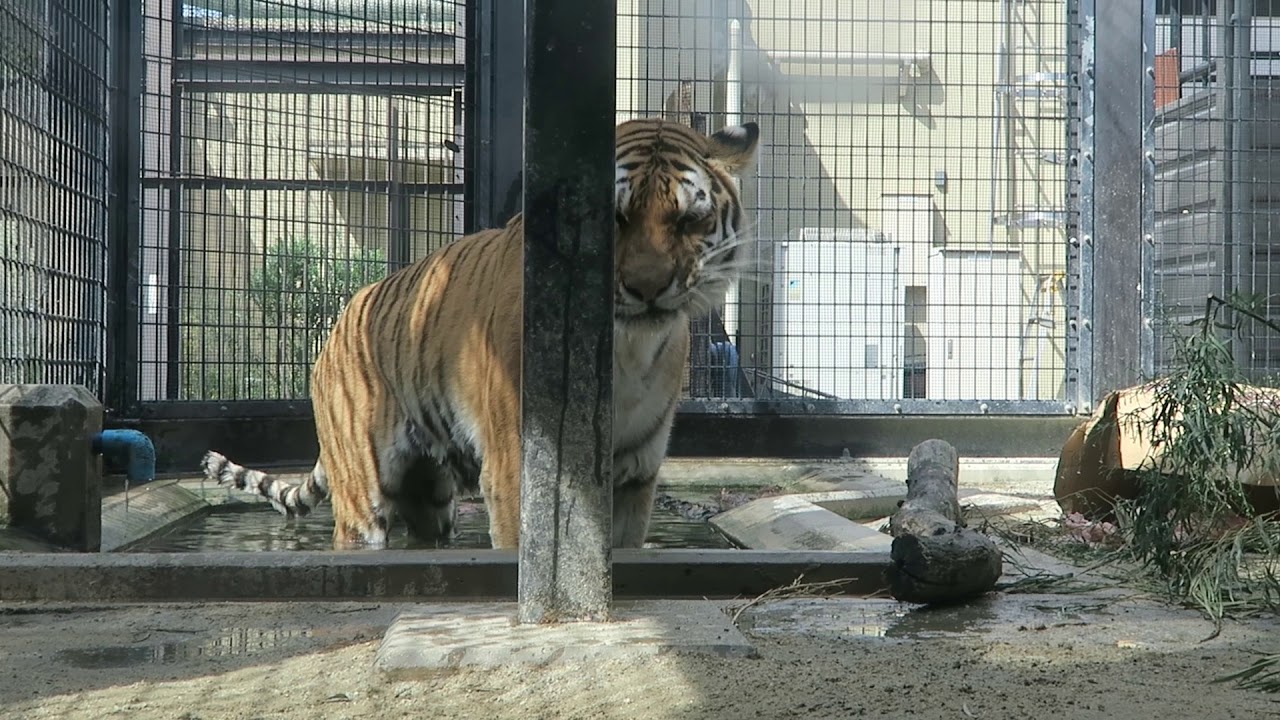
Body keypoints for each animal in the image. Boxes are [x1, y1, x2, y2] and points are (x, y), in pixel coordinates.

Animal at [200, 117, 762, 550]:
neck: (625, 348)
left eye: (690, 220)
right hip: (364, 498)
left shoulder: (634, 472)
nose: (647, 287)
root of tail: (340, 323)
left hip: (429, 501)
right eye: (615, 219)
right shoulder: (518, 466)